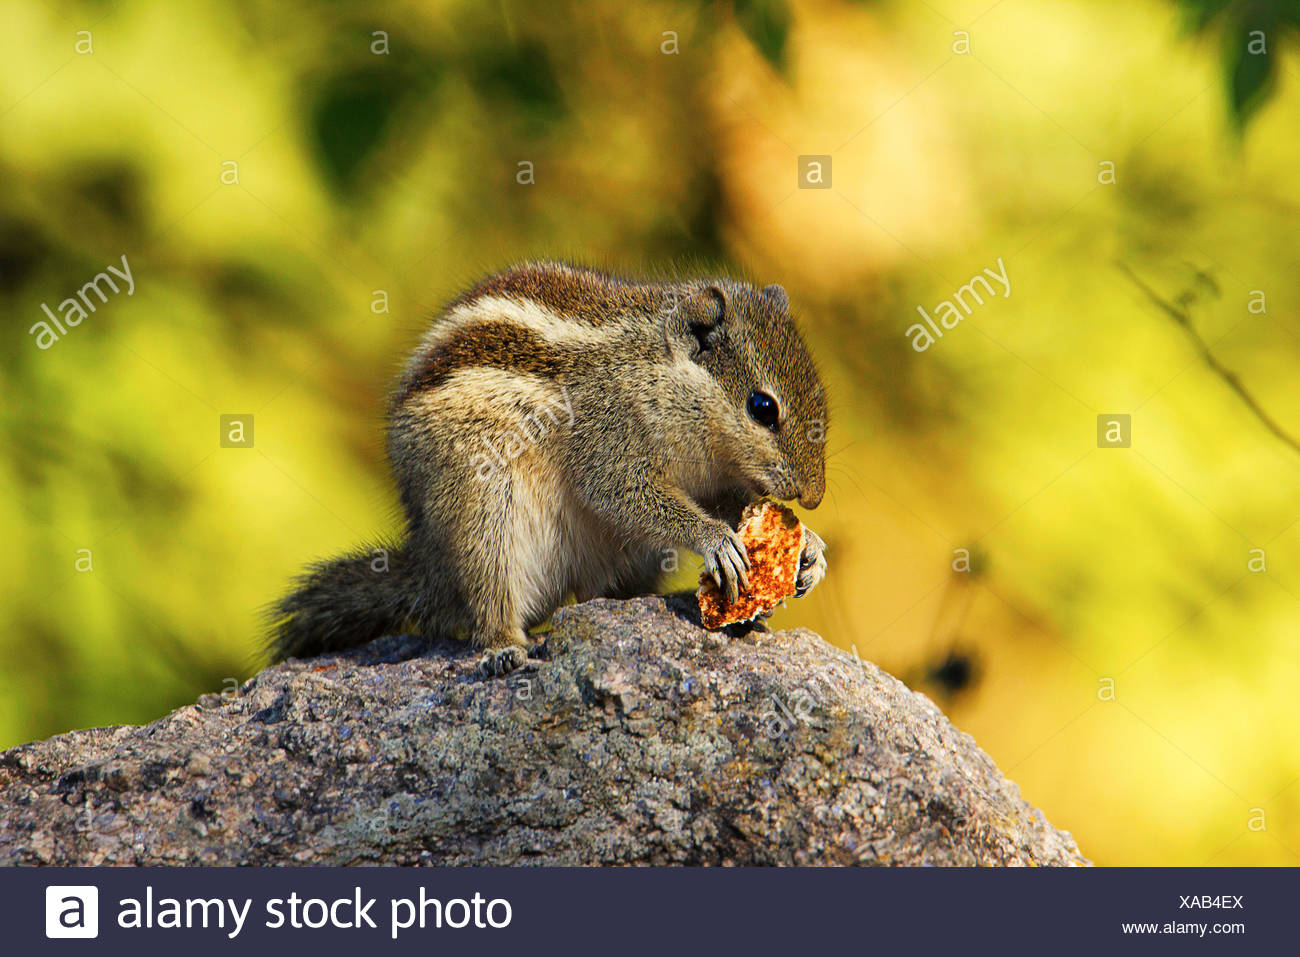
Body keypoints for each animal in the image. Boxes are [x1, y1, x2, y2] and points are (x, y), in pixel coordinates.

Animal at [269, 261, 829, 675]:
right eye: (762, 407)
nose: (814, 496)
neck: (657, 372)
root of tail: (431, 570)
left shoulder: (715, 479)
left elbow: (733, 504)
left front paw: (809, 550)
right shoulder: (607, 432)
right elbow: (622, 493)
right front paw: (715, 539)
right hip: (482, 512)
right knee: (488, 601)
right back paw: (504, 649)